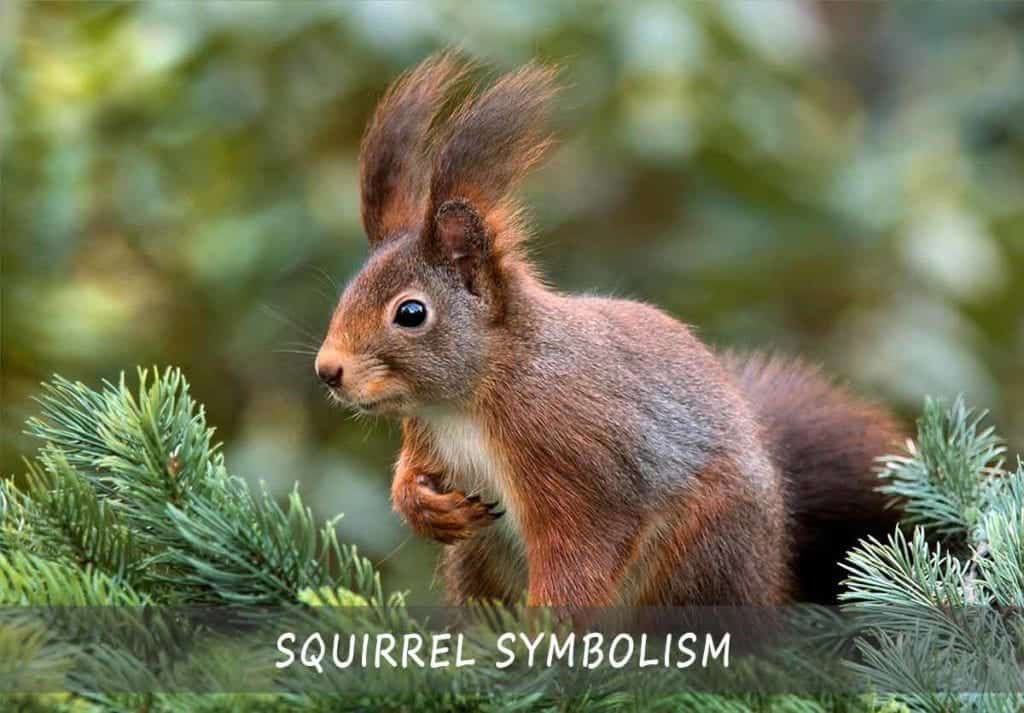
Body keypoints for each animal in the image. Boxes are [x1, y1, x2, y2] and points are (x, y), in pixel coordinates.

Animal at [314, 54, 904, 607]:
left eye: (411, 313)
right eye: (347, 290)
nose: (328, 371)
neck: (467, 401)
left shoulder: (574, 456)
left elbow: (580, 555)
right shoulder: (426, 434)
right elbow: (409, 477)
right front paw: (421, 505)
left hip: (701, 552)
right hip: (478, 558)